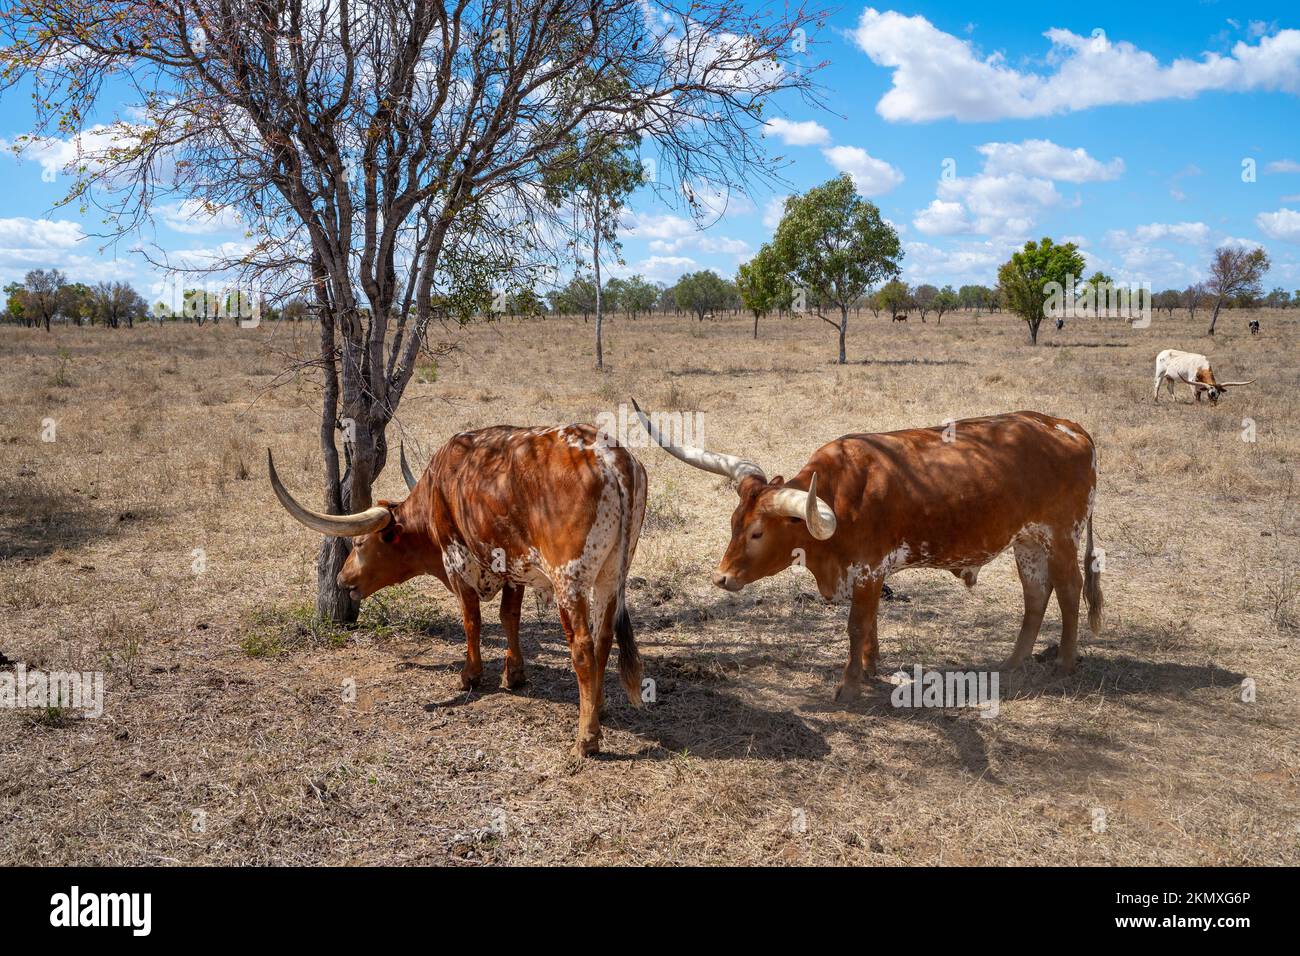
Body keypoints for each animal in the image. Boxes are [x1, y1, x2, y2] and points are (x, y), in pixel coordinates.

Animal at [268, 423, 647, 757]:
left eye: (360, 543)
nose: (342, 580)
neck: (439, 486)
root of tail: (612, 459)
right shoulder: (512, 564)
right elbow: (509, 617)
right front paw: (514, 674)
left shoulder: (456, 562)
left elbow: (472, 620)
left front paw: (470, 675)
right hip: (612, 573)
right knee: (603, 639)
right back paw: (597, 708)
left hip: (569, 579)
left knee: (583, 648)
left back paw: (586, 738)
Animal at [632, 401, 1103, 701]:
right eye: (734, 523)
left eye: (758, 534)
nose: (721, 577)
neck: (841, 495)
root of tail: (1067, 426)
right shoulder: (871, 574)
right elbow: (872, 622)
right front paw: (873, 667)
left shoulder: (869, 569)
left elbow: (857, 625)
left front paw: (851, 683)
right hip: (1029, 541)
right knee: (1036, 595)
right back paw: (1013, 662)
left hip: (1062, 535)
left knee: (1069, 589)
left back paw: (1064, 662)